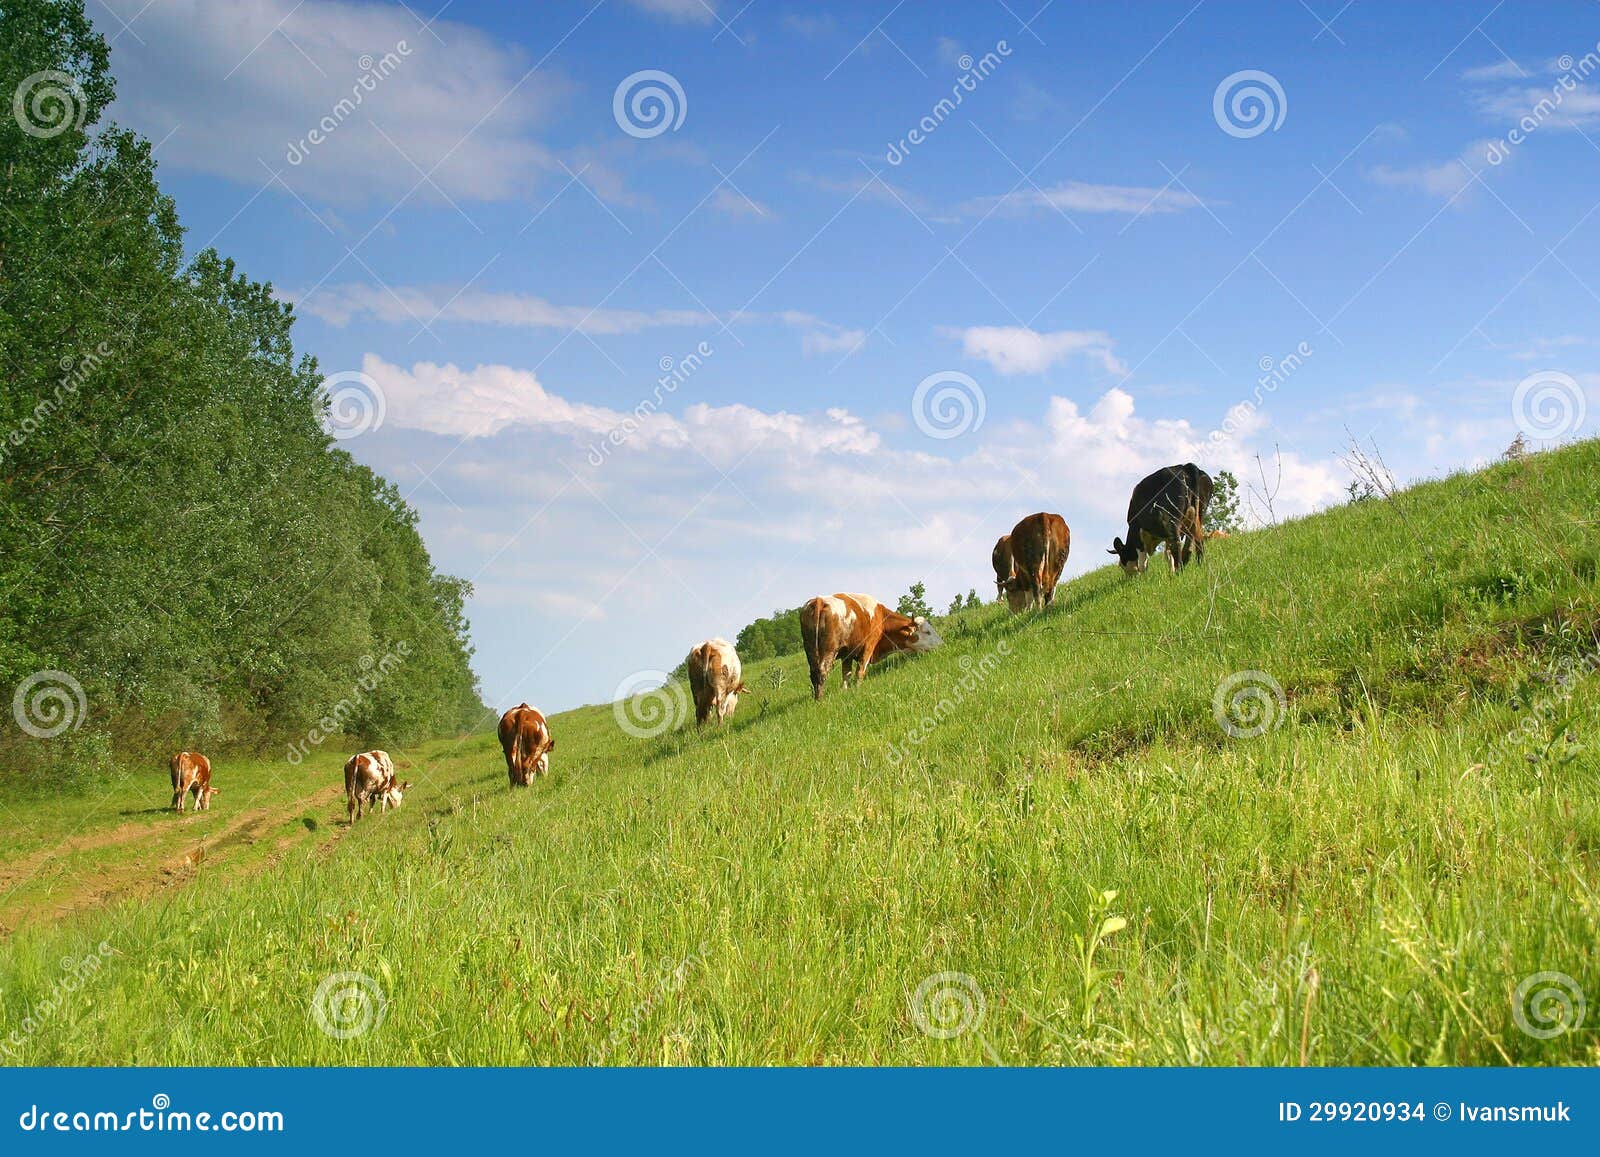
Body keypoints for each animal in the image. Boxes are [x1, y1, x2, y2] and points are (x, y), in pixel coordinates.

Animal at [799, 592, 943, 700]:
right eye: (927, 632)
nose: (941, 644)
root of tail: (819, 600)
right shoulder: (869, 645)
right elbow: (860, 671)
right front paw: (858, 690)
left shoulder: (847, 654)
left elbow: (846, 673)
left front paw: (844, 692)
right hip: (829, 649)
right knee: (822, 671)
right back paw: (821, 700)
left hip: (810, 649)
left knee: (814, 673)